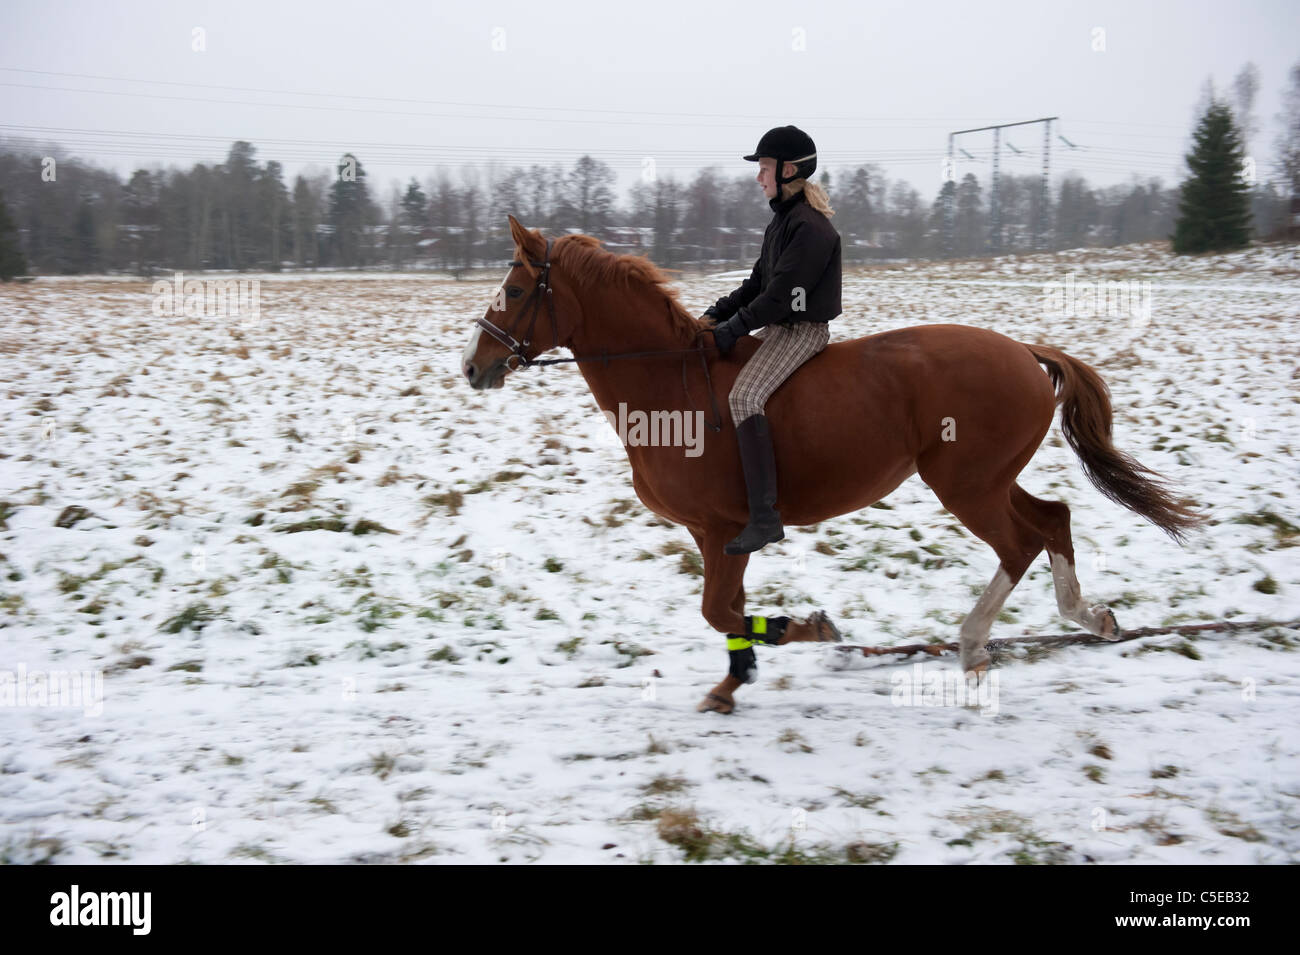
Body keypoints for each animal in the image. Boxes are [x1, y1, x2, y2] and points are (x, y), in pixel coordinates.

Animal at [461, 215, 1205, 714]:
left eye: (516, 290)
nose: (473, 367)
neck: (667, 382)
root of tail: (1024, 351)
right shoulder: (714, 535)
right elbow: (727, 611)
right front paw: (738, 678)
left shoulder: (722, 530)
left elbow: (719, 610)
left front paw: (801, 634)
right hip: (988, 479)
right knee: (1053, 518)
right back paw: (1090, 618)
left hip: (966, 485)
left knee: (1021, 543)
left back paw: (973, 648)